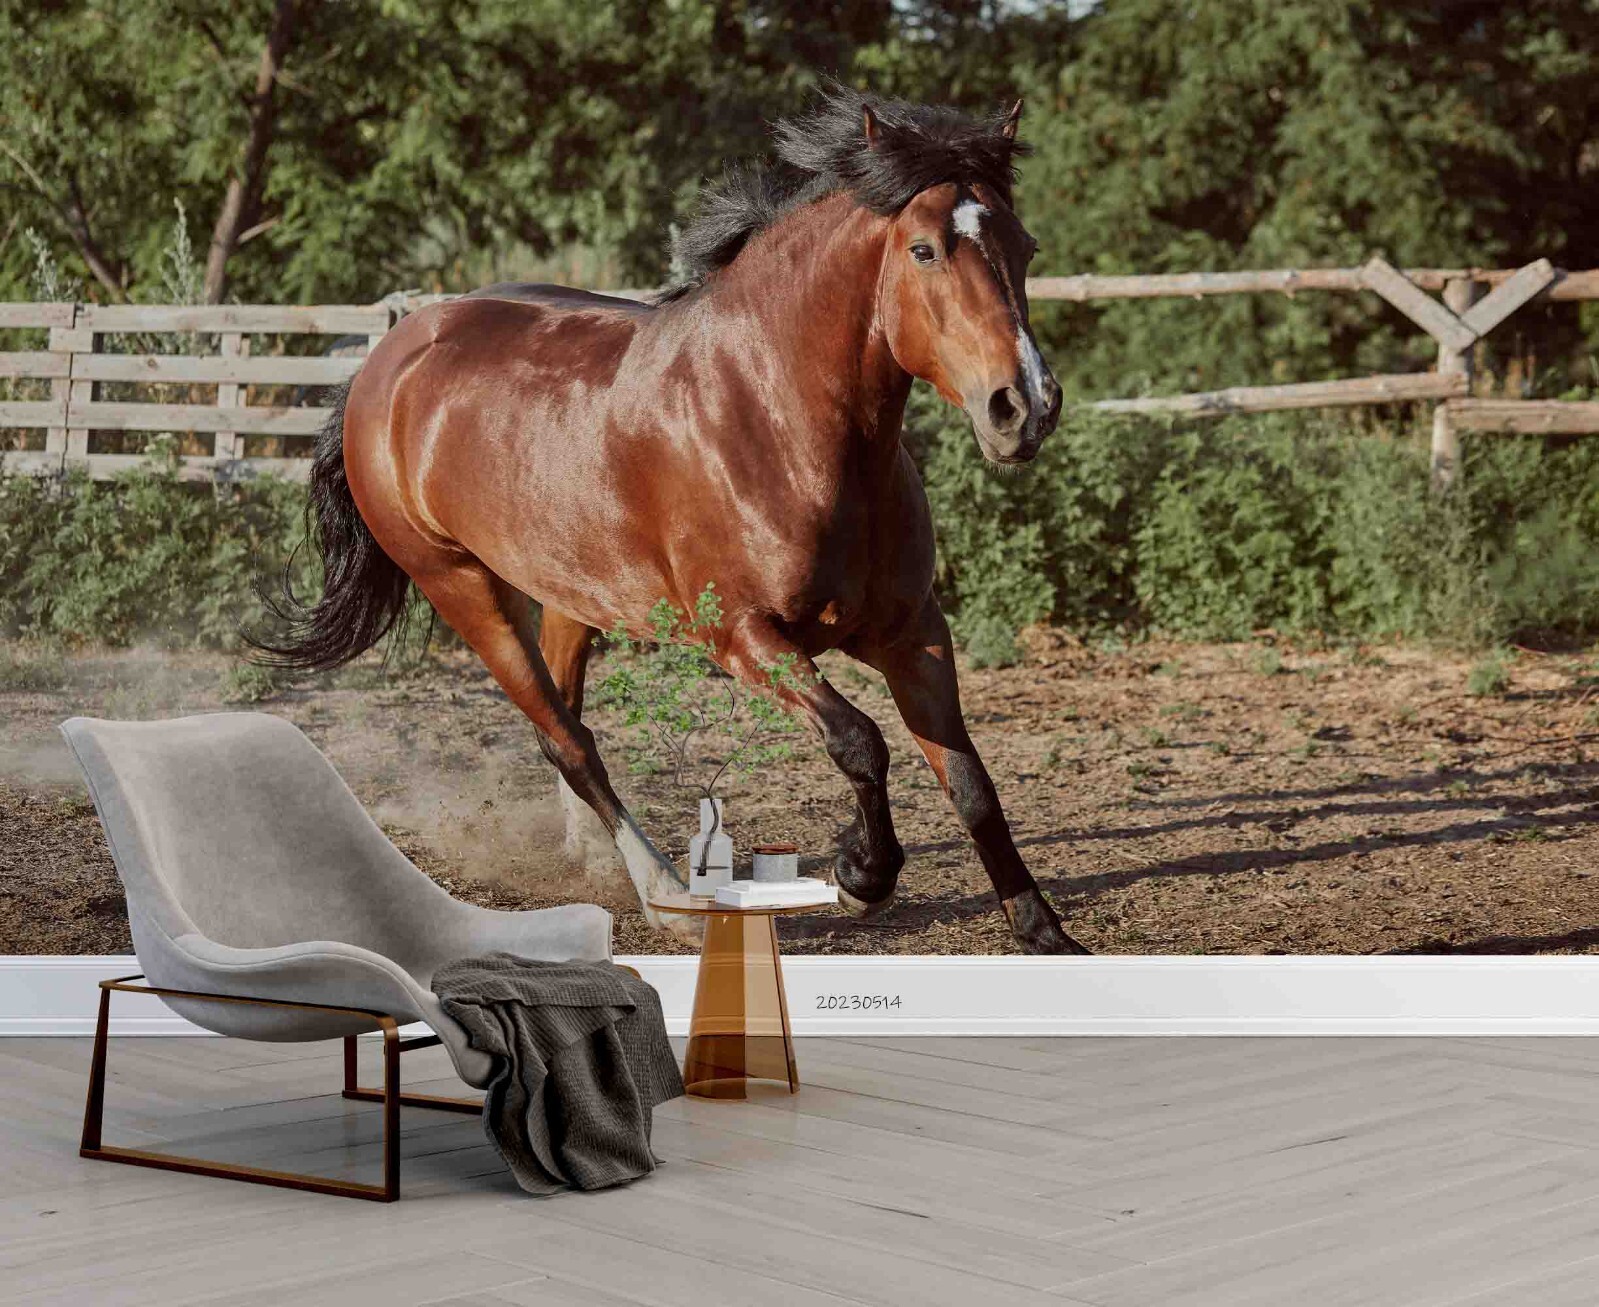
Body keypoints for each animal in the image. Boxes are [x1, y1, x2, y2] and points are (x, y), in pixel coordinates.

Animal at [256, 86, 1085, 955]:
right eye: (923, 250)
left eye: (1023, 246)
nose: (1024, 407)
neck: (775, 418)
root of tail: (389, 359)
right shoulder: (743, 637)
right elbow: (859, 741)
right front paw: (861, 874)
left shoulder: (912, 631)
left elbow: (970, 780)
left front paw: (1042, 931)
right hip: (461, 589)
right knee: (567, 741)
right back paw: (662, 893)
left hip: (564, 591)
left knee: (565, 720)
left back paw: (597, 860)